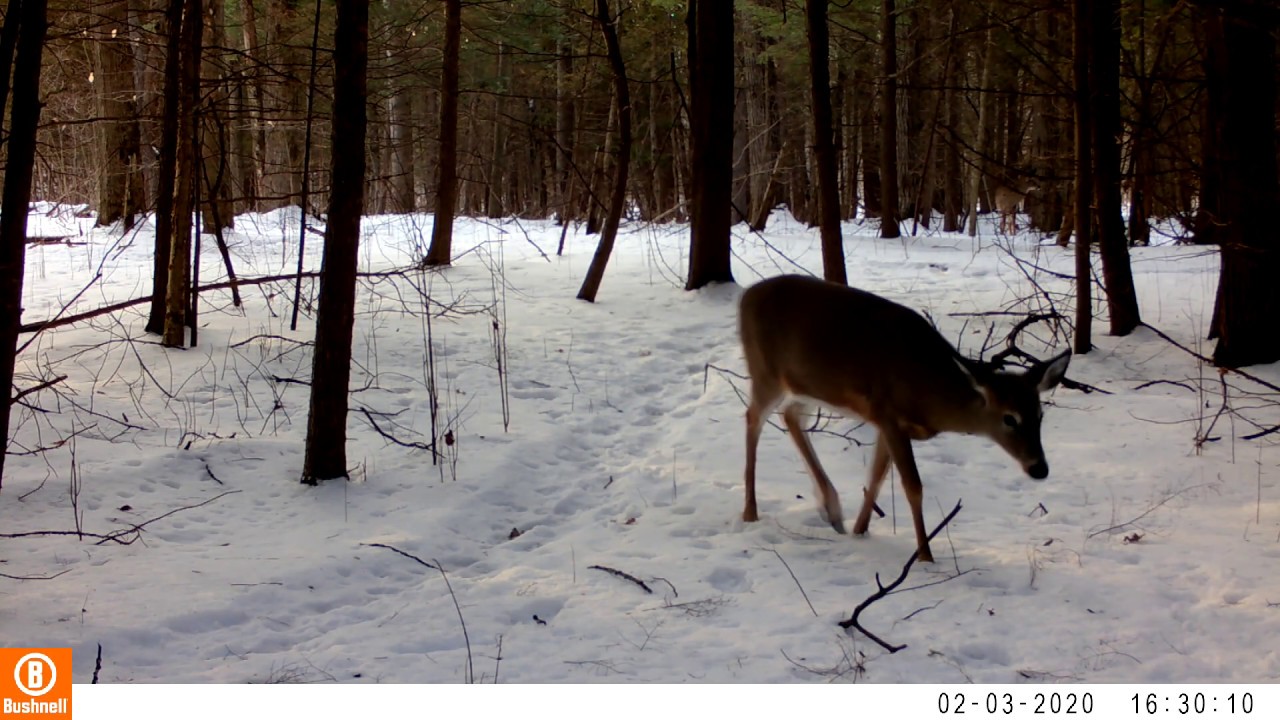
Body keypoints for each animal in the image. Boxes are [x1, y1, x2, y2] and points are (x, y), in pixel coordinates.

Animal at [738, 274, 1070, 563]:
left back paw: (832, 510)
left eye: (1040, 415)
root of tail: (747, 296)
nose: (1039, 468)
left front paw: (859, 532)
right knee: (752, 418)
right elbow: (913, 487)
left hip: (807, 386)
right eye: (1009, 419)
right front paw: (925, 556)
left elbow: (876, 477)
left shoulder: (885, 422)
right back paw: (750, 511)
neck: (928, 393)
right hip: (765, 371)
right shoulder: (888, 415)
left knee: (790, 414)